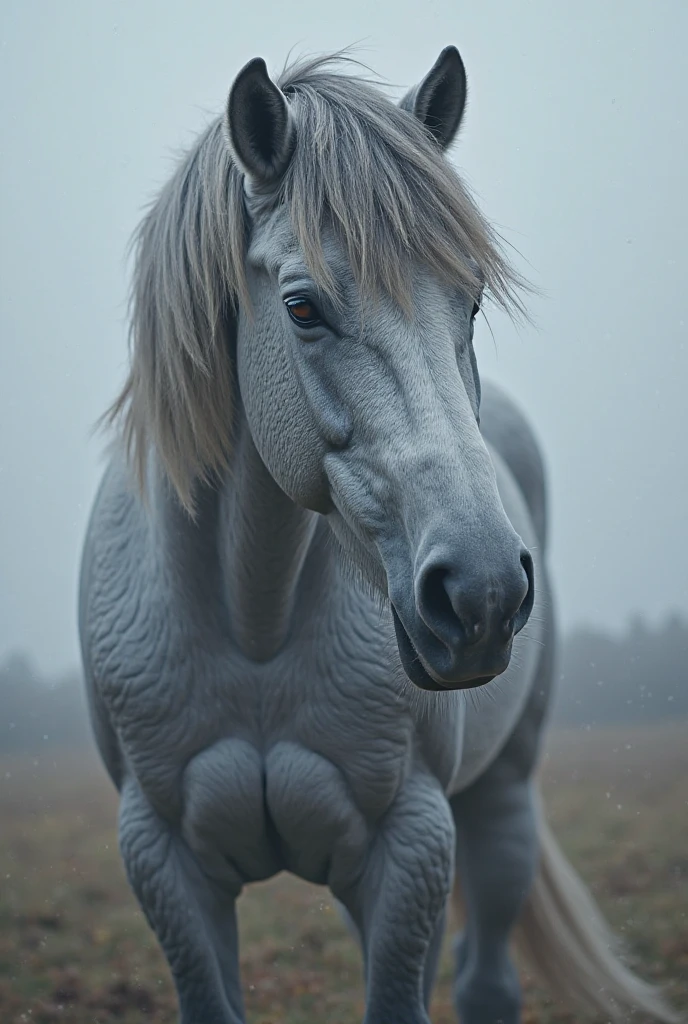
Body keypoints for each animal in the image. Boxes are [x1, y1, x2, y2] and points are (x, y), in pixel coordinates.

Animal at [79, 47, 677, 1024]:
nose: (482, 593)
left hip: (498, 806)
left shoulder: (410, 845)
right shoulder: (163, 861)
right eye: (303, 307)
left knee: (486, 981)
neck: (254, 623)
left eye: (472, 301)